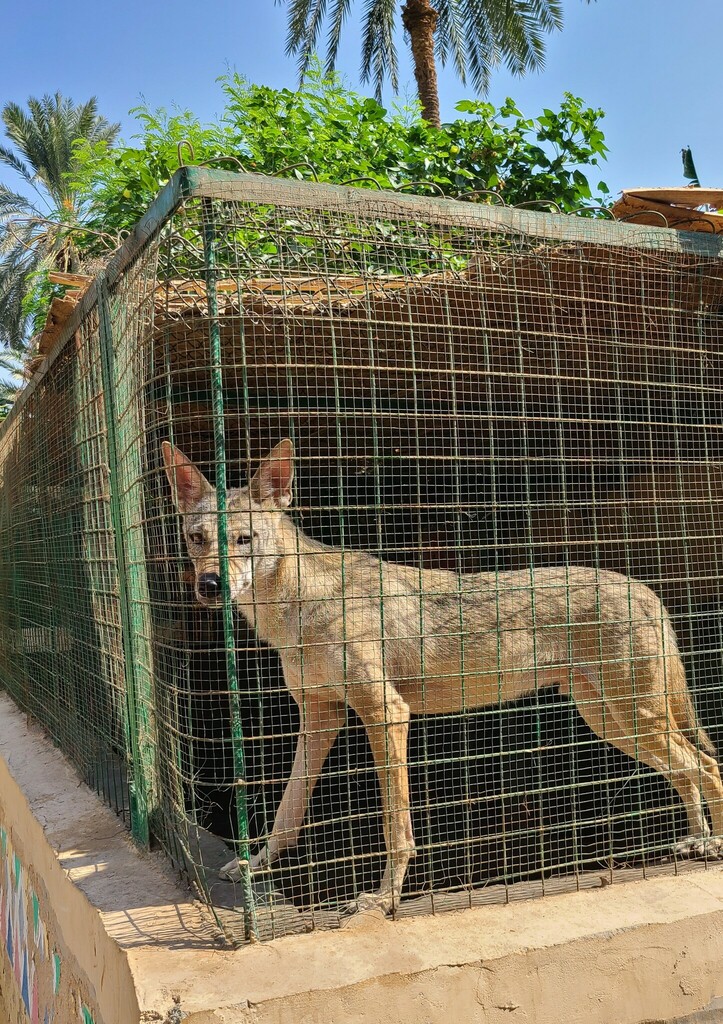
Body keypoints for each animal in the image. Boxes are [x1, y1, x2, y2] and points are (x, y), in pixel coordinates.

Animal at [162, 438, 723, 913]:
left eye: (244, 539)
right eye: (196, 539)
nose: (210, 585)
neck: (292, 611)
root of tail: (646, 589)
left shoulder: (387, 715)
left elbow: (396, 826)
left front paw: (384, 899)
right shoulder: (320, 720)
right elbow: (285, 815)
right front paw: (255, 868)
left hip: (632, 718)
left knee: (708, 767)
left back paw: (712, 844)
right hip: (613, 723)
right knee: (687, 771)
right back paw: (698, 839)